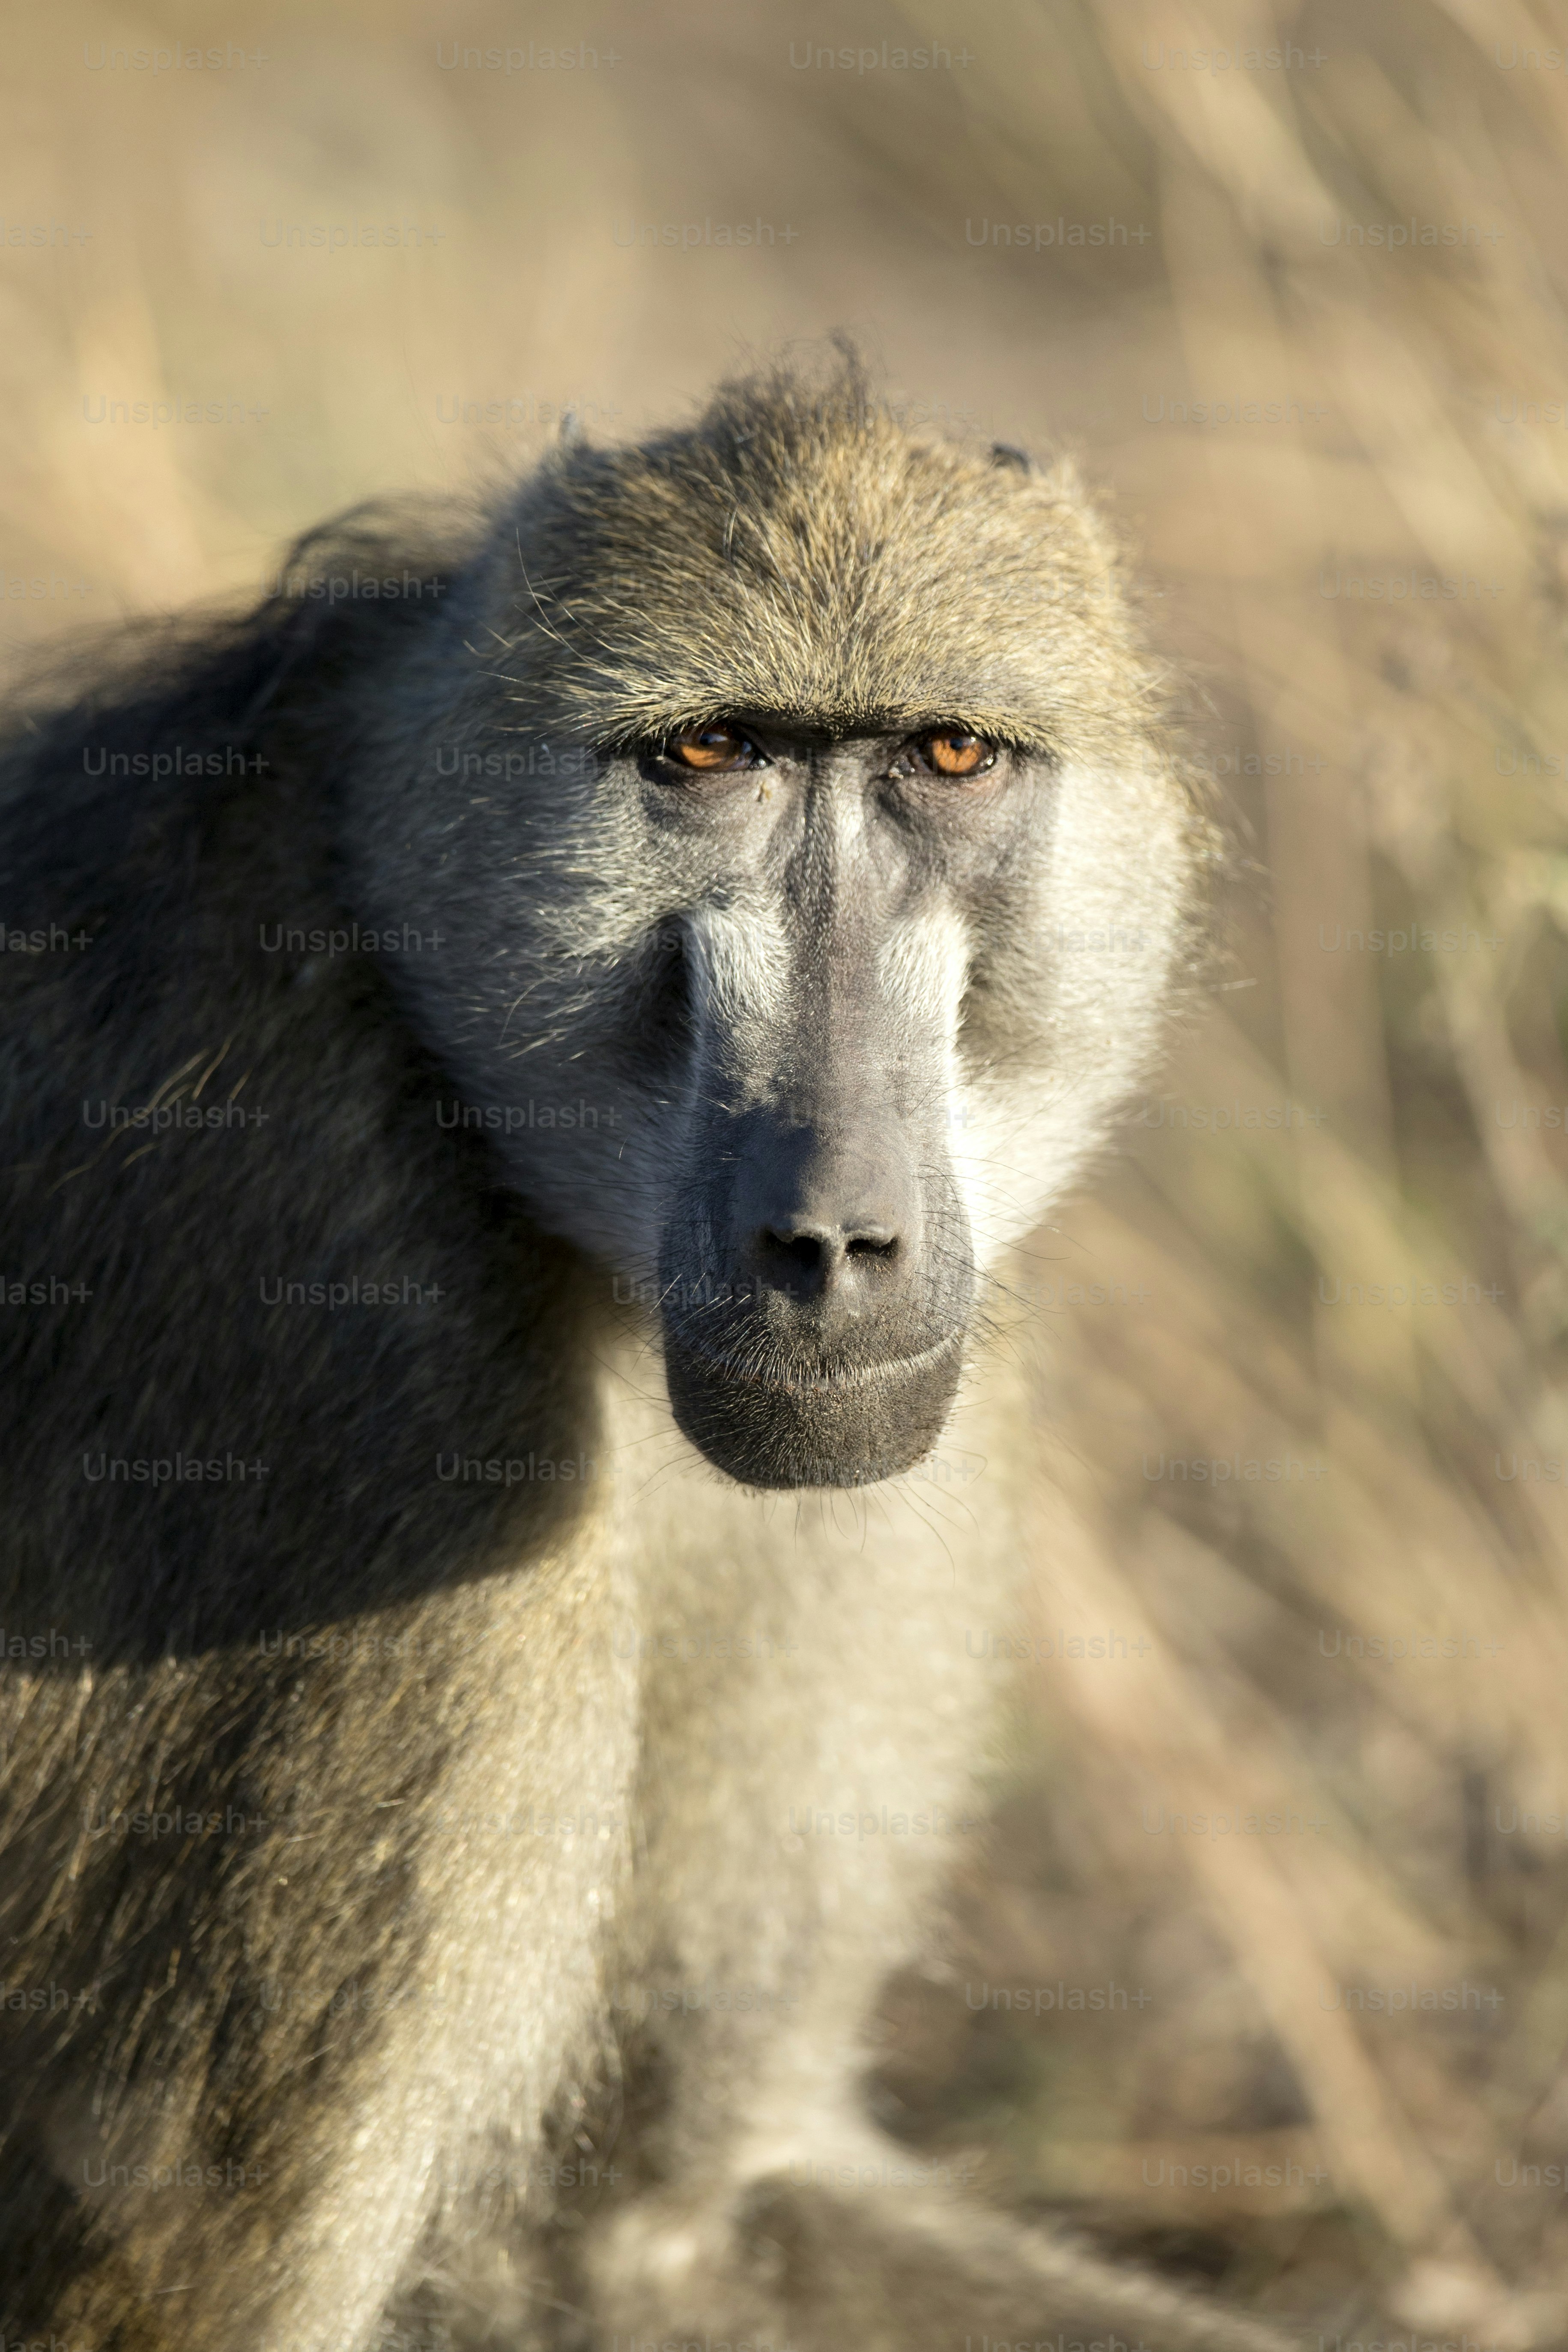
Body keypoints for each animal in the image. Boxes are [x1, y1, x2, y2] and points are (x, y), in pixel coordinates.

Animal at [0, 352, 1297, 2352]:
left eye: (947, 759)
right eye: (704, 759)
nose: (831, 1240)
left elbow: (649, 2226)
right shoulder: (338, 1366)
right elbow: (149, 2270)